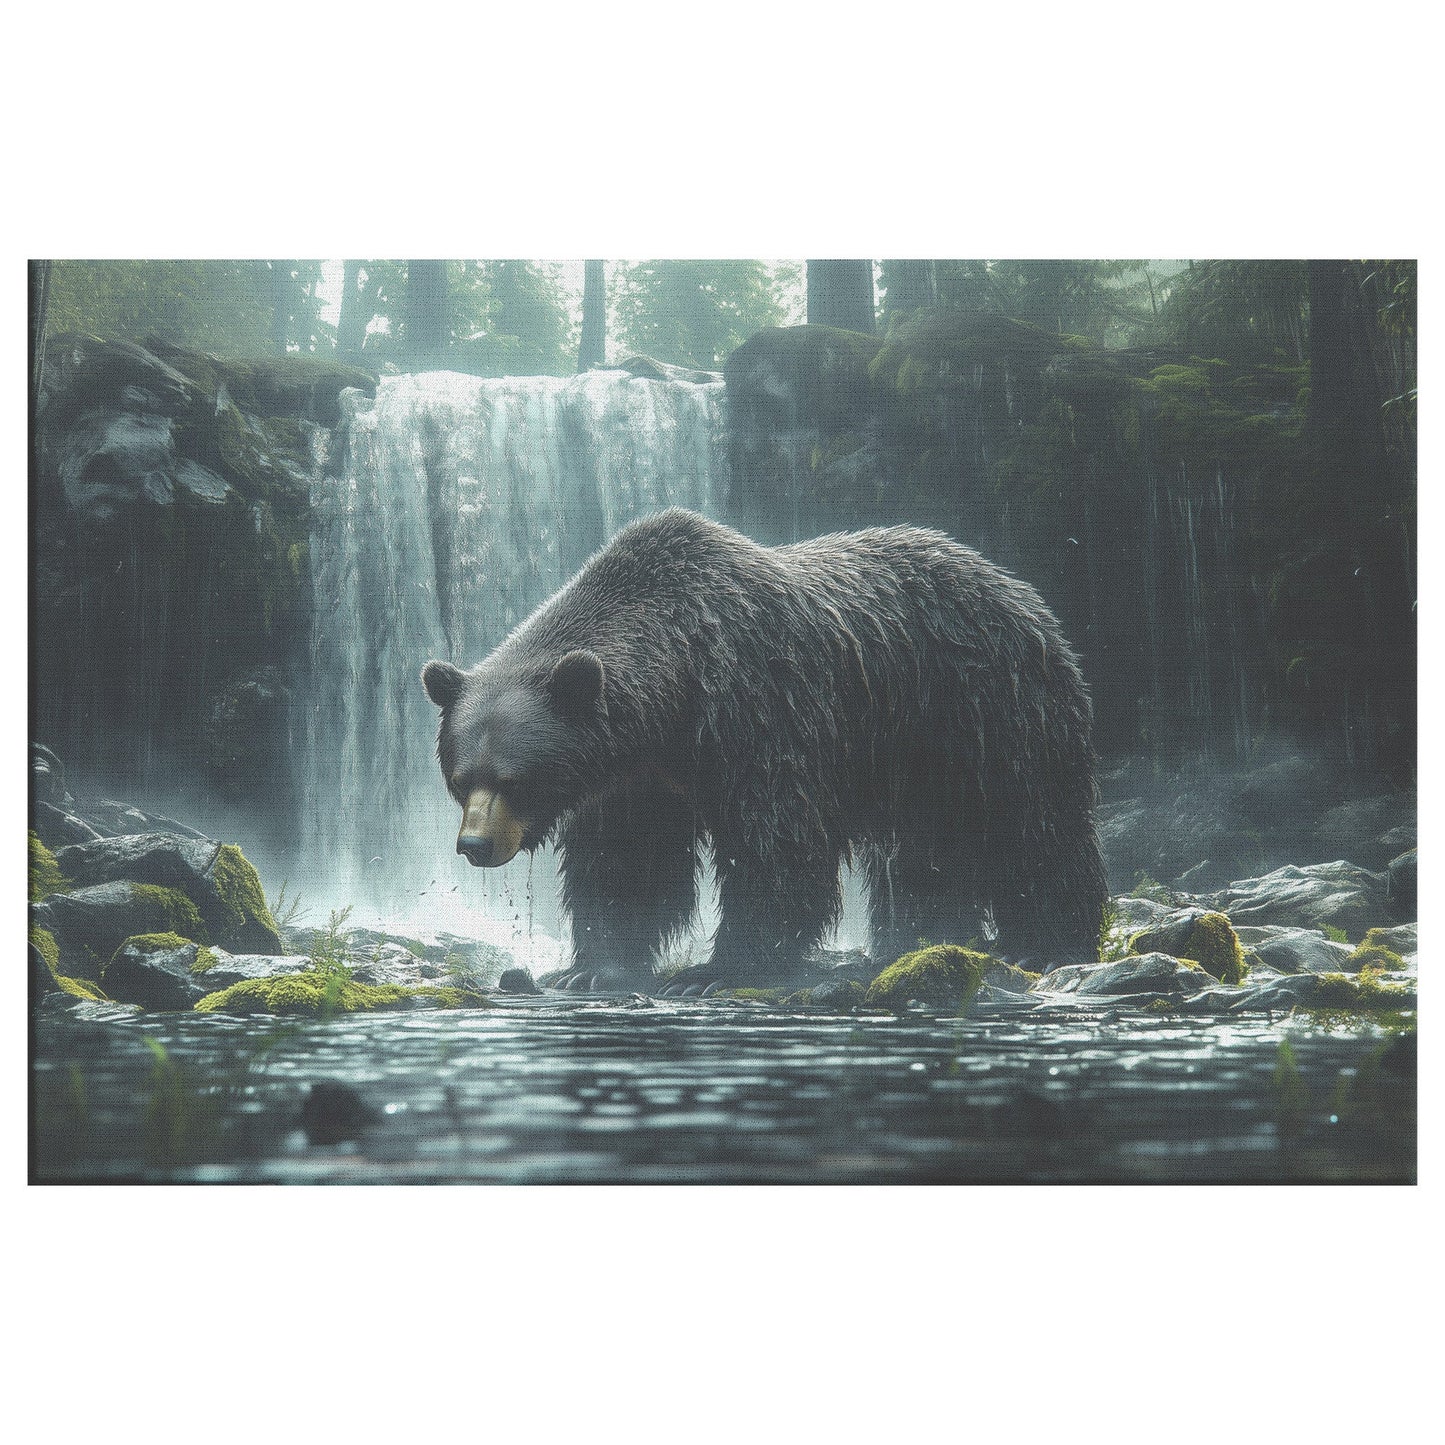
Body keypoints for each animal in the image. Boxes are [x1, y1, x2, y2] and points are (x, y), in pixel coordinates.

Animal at [421, 508, 1107, 993]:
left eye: (516, 778)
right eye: (461, 777)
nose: (474, 844)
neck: (673, 695)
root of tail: (1015, 587)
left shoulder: (760, 713)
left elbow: (775, 846)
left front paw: (720, 968)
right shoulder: (638, 779)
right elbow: (625, 863)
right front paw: (593, 964)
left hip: (988, 710)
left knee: (1033, 823)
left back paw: (1044, 941)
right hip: (916, 762)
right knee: (924, 856)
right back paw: (919, 940)